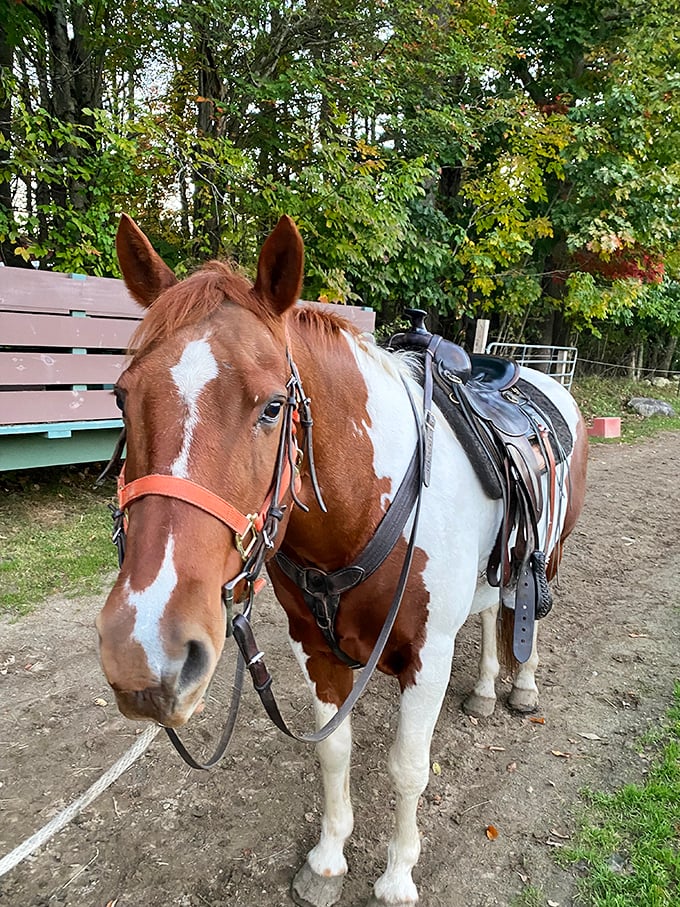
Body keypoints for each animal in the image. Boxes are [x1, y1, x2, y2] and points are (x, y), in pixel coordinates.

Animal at [96, 213, 588, 907]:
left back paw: (521, 687)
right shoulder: (314, 649)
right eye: (121, 396)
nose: (143, 649)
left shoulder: (428, 655)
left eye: (273, 406)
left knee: (526, 613)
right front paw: (328, 861)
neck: (360, 515)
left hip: (550, 552)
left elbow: (409, 768)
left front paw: (398, 876)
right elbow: (334, 753)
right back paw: (488, 688)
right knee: (493, 612)